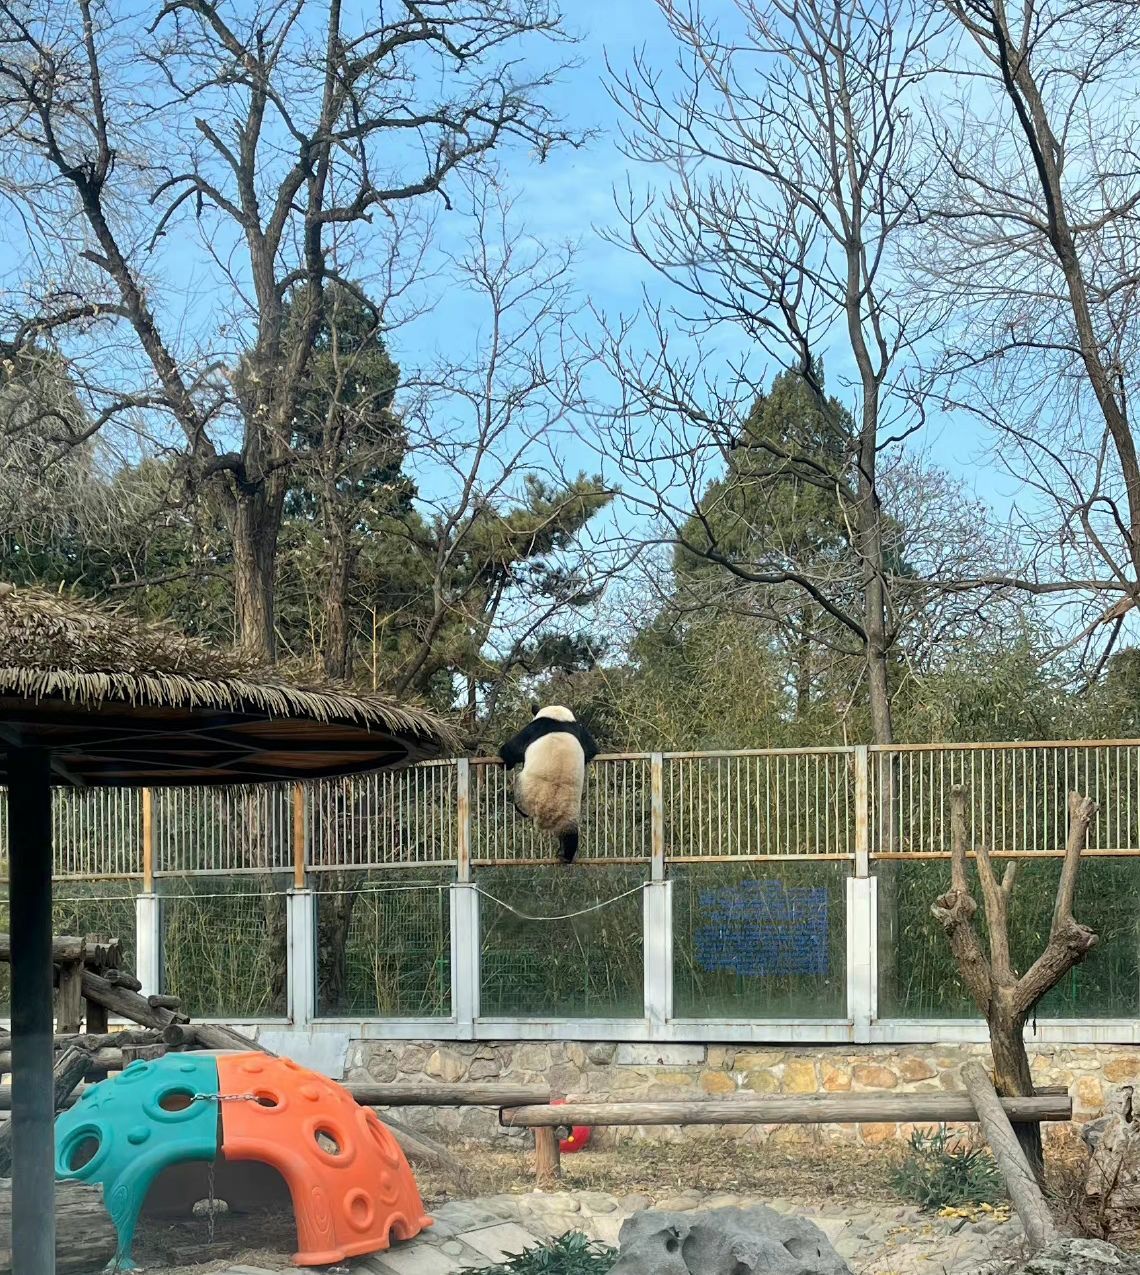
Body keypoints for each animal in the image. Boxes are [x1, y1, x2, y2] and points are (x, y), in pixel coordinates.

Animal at [498, 704, 599, 863]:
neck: (558, 718)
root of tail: (549, 813)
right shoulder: (580, 730)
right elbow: (592, 749)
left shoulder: (534, 729)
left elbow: (511, 750)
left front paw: (505, 761)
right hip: (568, 810)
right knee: (570, 834)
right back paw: (565, 855)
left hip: (526, 793)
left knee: (520, 804)